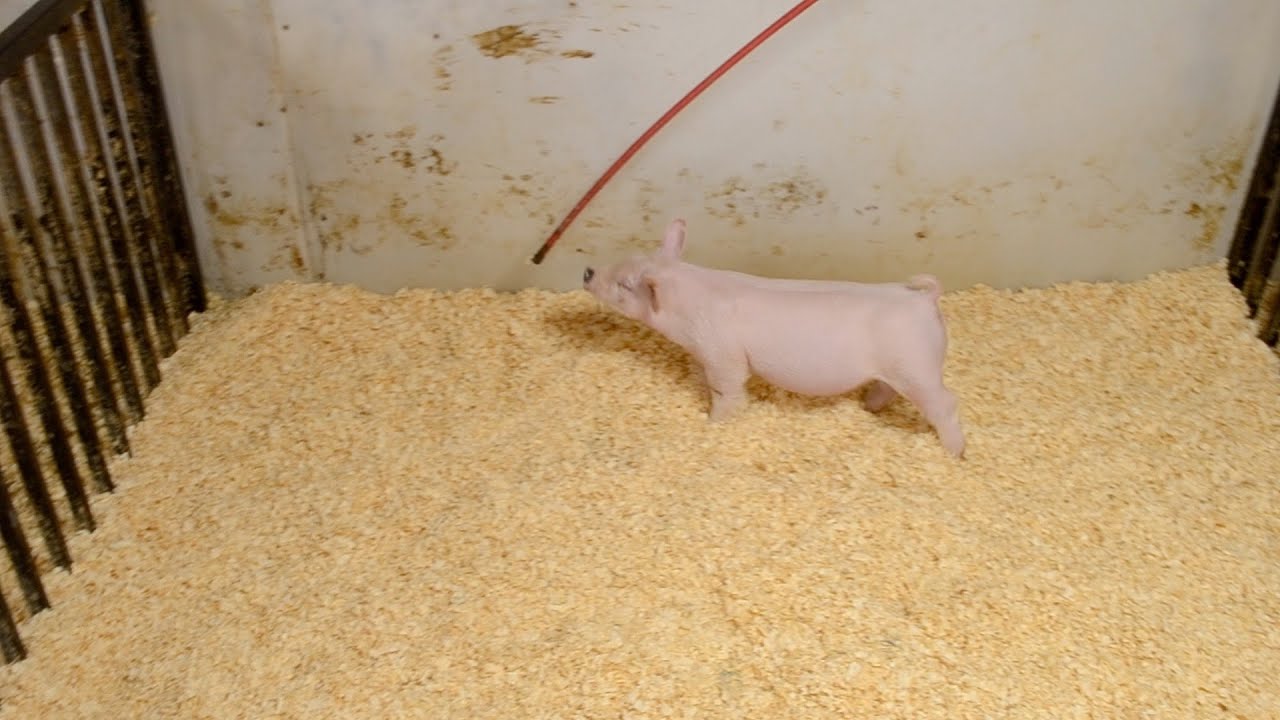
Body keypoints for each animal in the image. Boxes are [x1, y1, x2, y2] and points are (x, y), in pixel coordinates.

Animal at [581, 218, 966, 458]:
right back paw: (868, 407)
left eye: (624, 285)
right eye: (624, 259)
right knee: (887, 389)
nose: (587, 271)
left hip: (918, 368)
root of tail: (924, 299)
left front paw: (714, 423)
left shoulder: (723, 354)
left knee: (947, 403)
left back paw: (955, 453)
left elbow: (728, 389)